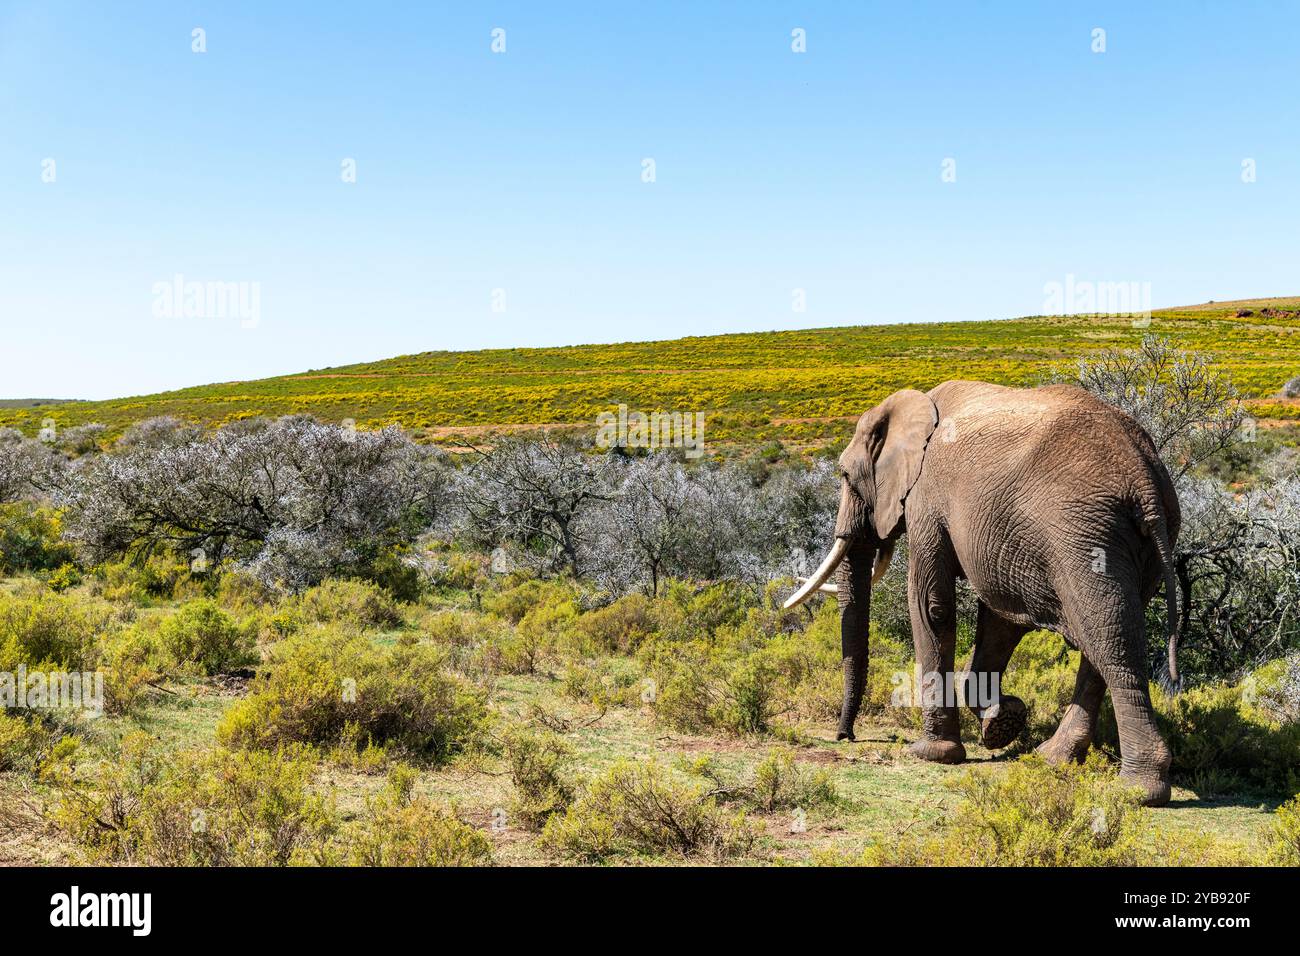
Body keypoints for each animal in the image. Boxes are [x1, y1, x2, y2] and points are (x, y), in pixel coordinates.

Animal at [783, 380, 1181, 806]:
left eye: (844, 475)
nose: (845, 736)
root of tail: (1145, 480)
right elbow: (1000, 619)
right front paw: (1003, 722)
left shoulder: (926, 498)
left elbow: (930, 604)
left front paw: (932, 754)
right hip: (1134, 541)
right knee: (1104, 642)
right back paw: (1051, 760)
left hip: (1086, 537)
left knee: (1111, 644)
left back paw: (1138, 791)